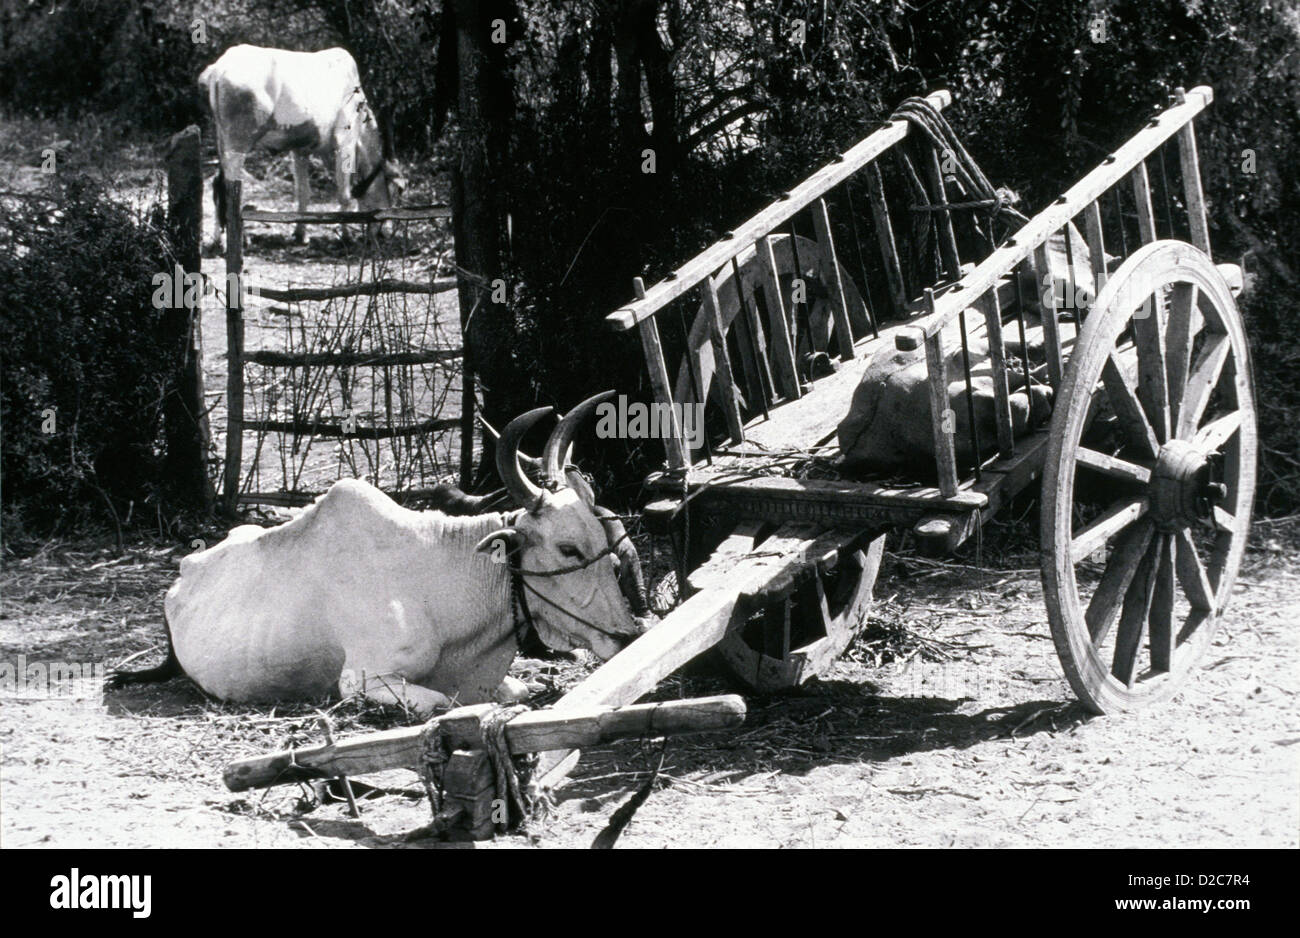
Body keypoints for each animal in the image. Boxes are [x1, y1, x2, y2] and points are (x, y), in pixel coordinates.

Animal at [108, 393, 651, 716]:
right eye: (567, 547)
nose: (629, 636)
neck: (442, 582)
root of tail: (183, 574)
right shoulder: (362, 680)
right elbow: (441, 703)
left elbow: (514, 688)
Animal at [198, 44, 406, 248]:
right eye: (399, 188)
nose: (386, 233)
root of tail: (218, 69)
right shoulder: (345, 144)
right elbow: (344, 195)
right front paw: (347, 237)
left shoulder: (300, 151)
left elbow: (303, 193)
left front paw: (301, 234)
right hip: (237, 145)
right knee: (228, 189)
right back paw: (232, 240)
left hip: (222, 141)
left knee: (217, 184)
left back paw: (218, 239)